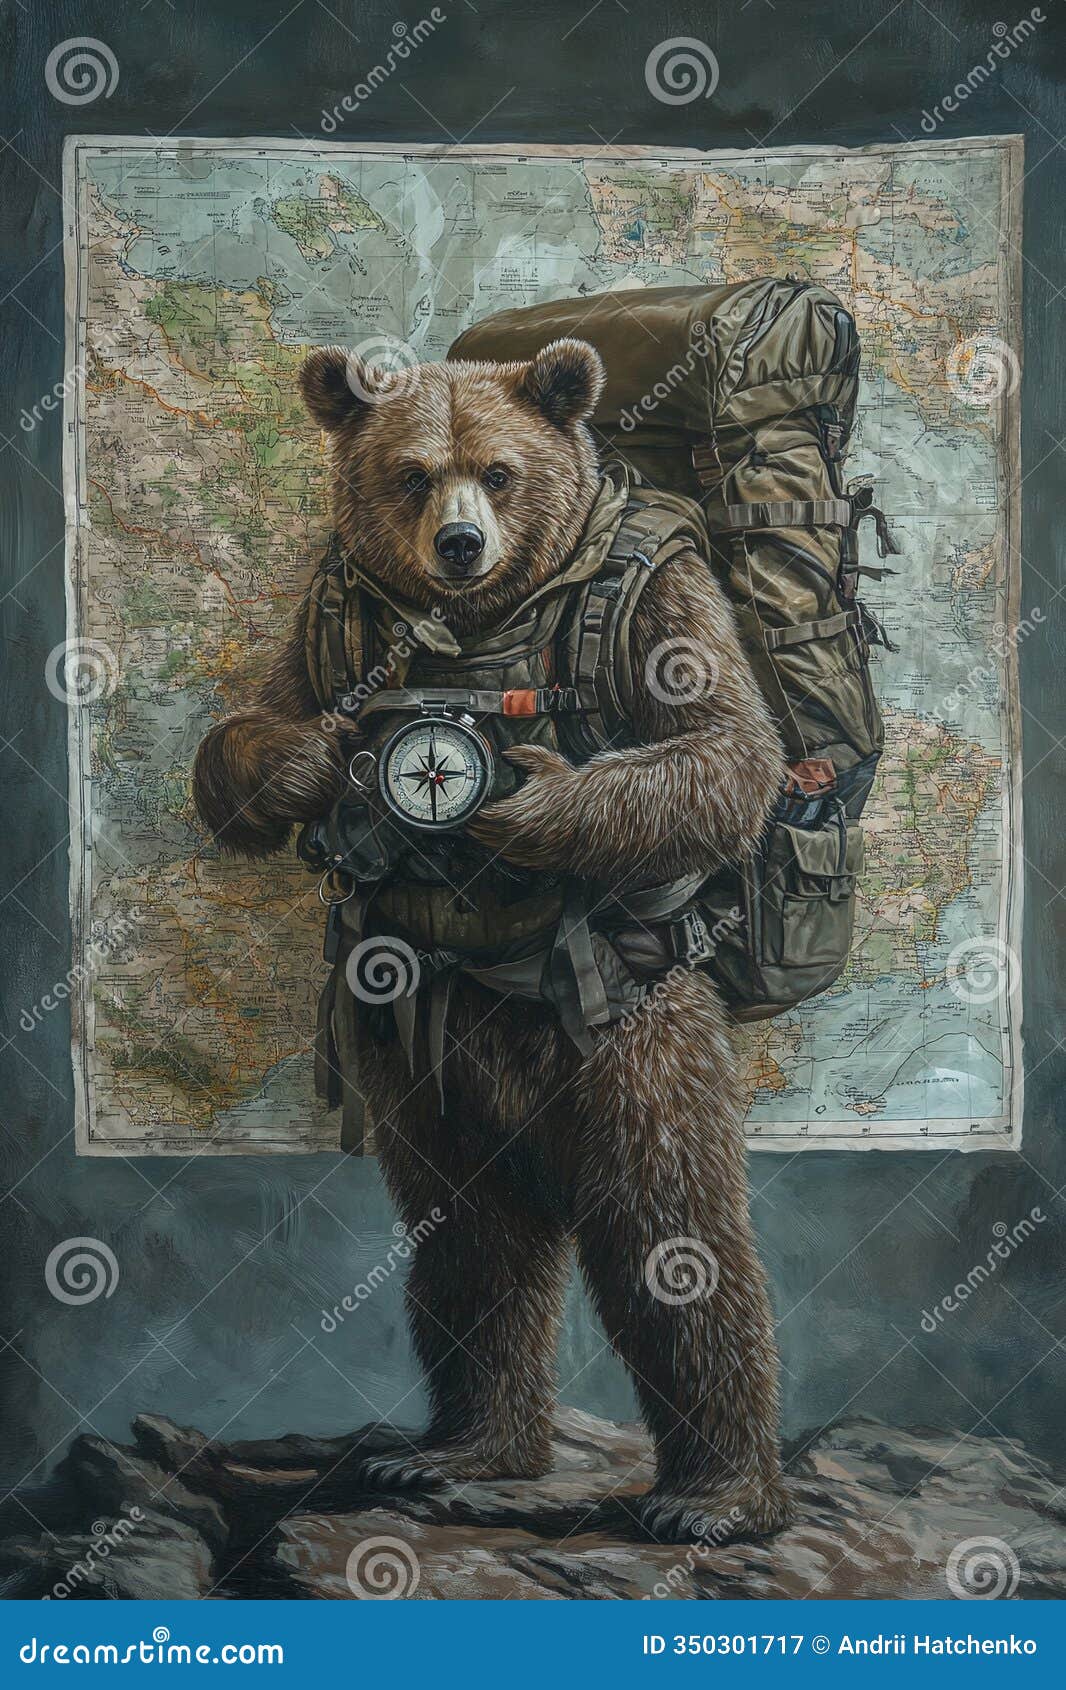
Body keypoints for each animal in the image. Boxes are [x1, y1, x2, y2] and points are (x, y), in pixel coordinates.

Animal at [193, 338, 793, 1544]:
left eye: (501, 472)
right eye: (415, 473)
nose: (461, 544)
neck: (470, 639)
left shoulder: (662, 599)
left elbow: (719, 747)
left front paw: (529, 803)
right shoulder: (328, 613)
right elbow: (259, 719)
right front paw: (305, 763)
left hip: (627, 1040)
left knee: (673, 1229)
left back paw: (711, 1496)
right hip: (418, 1052)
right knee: (470, 1236)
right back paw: (462, 1448)